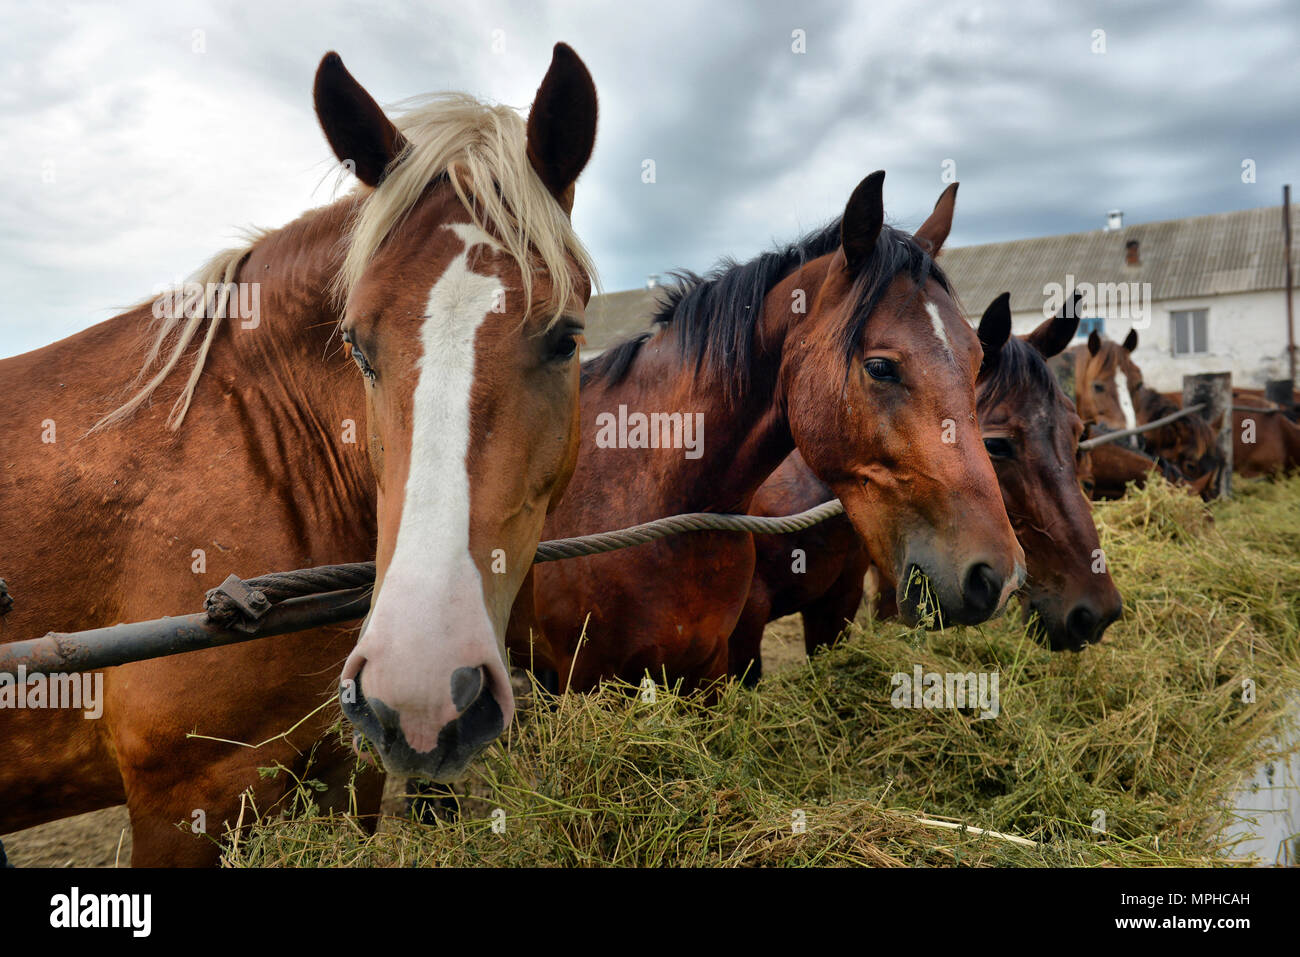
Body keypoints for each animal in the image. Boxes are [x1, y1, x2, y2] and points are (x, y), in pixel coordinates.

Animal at [0, 45, 599, 865]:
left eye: (567, 338)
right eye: (357, 345)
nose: (422, 690)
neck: (259, 445)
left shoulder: (345, 766)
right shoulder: (181, 802)